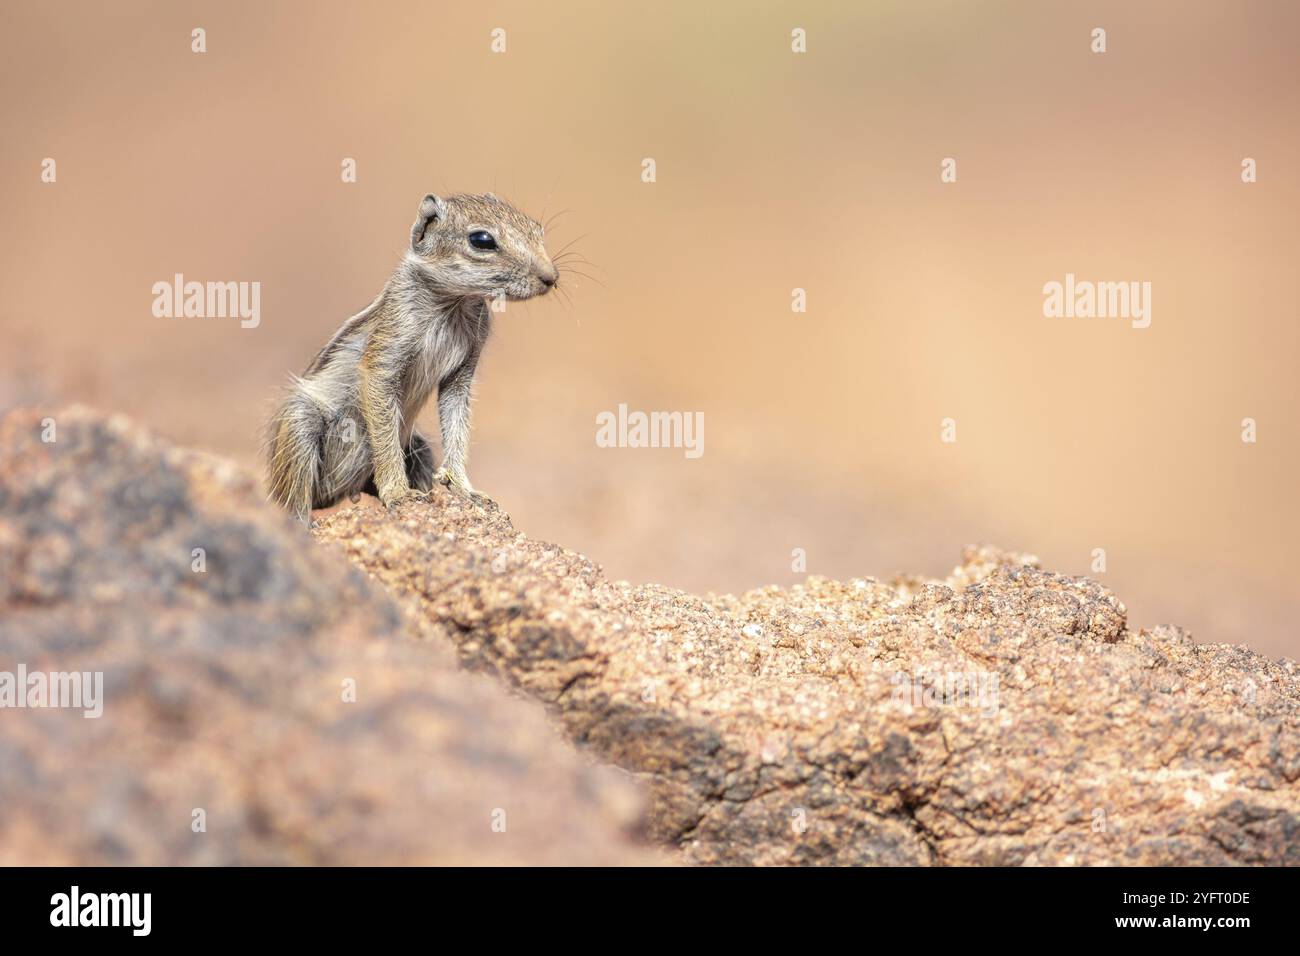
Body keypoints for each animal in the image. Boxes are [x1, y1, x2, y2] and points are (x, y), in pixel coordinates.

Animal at [264, 192, 557, 522]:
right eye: (482, 240)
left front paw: (464, 488)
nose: (551, 278)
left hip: (418, 444)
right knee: (294, 498)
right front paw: (398, 495)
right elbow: (384, 432)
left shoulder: (464, 369)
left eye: (537, 230)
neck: (453, 302)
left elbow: (458, 423)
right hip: (300, 424)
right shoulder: (385, 354)